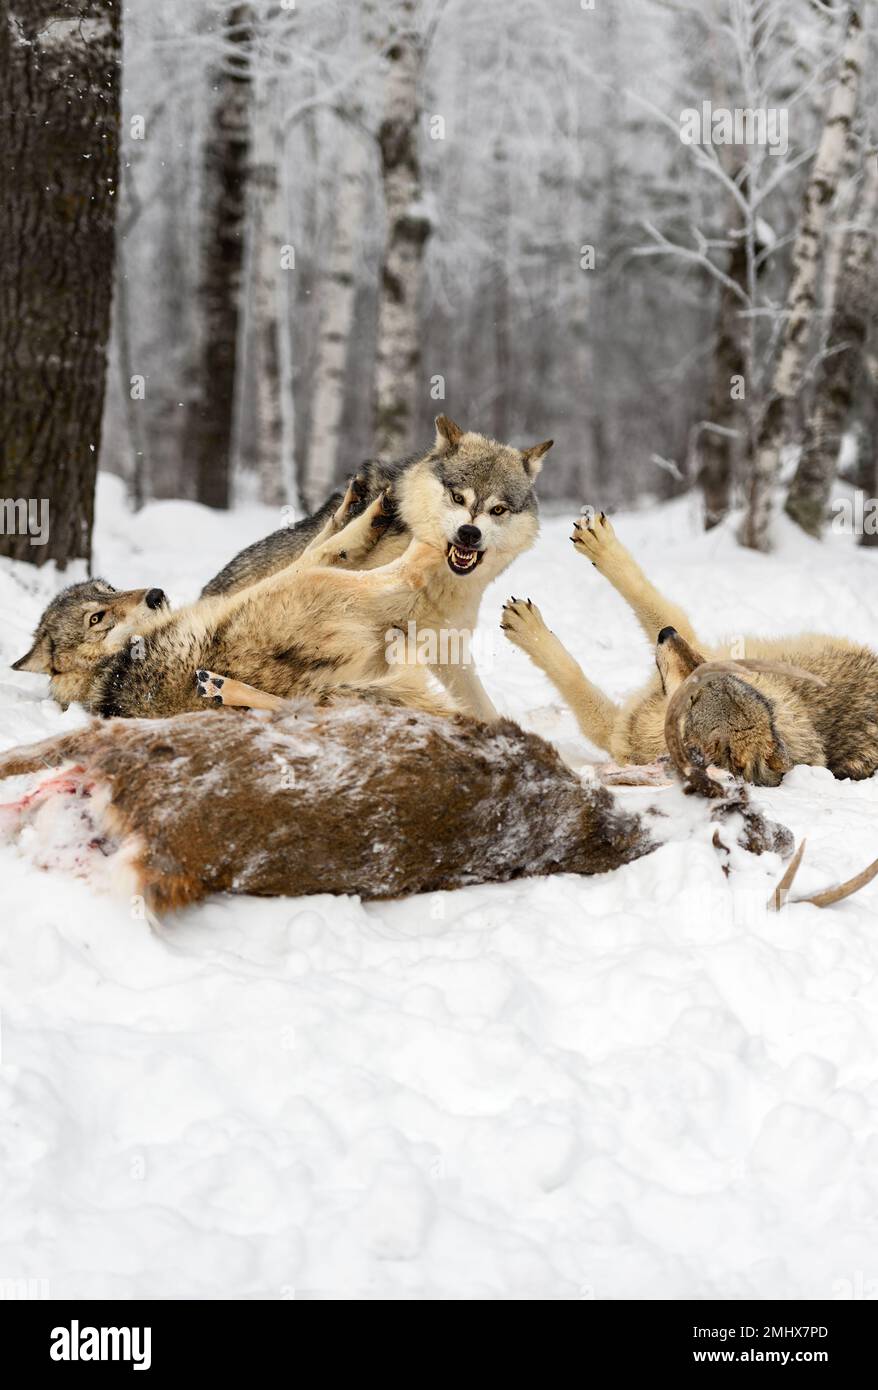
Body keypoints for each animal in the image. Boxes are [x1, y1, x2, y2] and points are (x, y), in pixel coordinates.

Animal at [501, 511, 878, 785]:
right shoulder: (693, 643)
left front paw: (530, 631)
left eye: (694, 696)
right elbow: (645, 595)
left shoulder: (617, 730)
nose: (667, 634)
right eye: (711, 669)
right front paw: (603, 546)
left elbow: (575, 681)